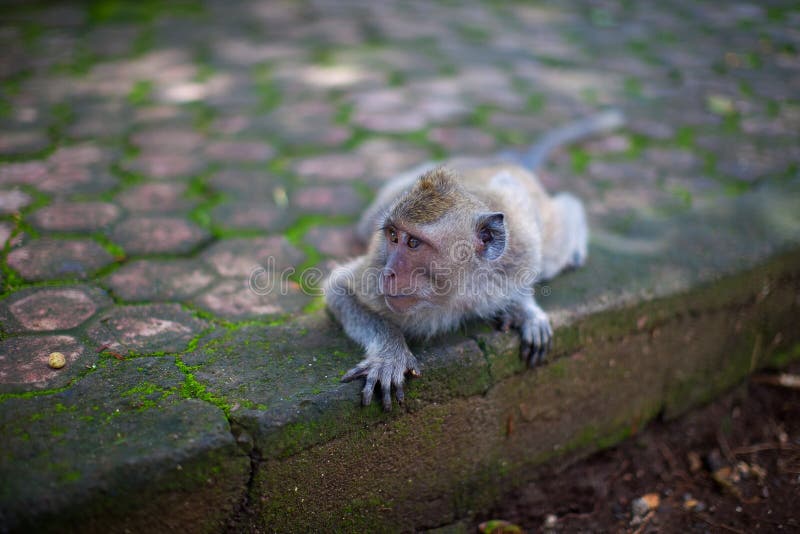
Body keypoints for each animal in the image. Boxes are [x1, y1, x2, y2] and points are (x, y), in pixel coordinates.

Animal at [324, 110, 624, 411]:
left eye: (413, 243)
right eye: (393, 236)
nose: (388, 274)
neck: (460, 288)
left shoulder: (520, 242)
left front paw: (524, 308)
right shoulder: (376, 266)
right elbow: (340, 289)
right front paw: (390, 355)